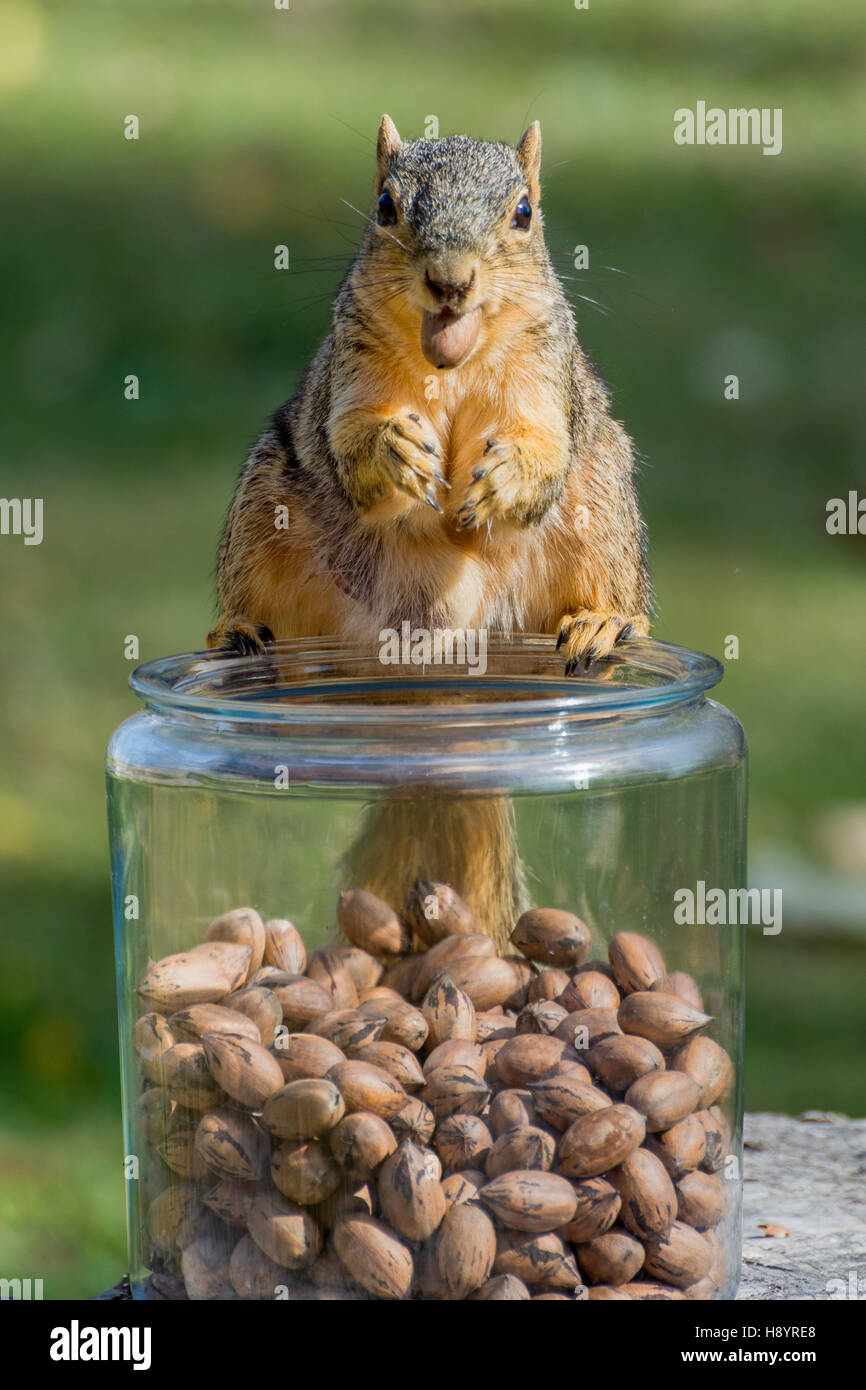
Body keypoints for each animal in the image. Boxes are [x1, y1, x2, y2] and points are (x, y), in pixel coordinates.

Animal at [207, 116, 652, 946]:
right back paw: (241, 633)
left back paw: (604, 622)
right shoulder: (345, 377)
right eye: (385, 206)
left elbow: (541, 454)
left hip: (602, 499)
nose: (450, 280)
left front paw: (504, 479)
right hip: (264, 502)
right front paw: (392, 450)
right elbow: (351, 447)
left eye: (523, 213)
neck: (451, 363)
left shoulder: (546, 380)